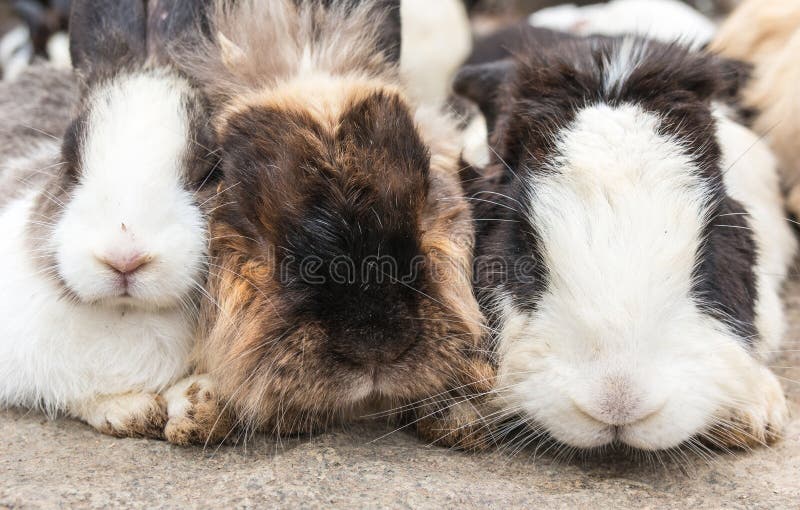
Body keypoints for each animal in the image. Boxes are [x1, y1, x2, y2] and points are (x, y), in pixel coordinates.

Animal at [0, 0, 219, 438]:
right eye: (68, 159)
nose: (124, 259)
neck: (126, 313)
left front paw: (198, 408)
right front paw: (131, 410)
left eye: (210, 171)